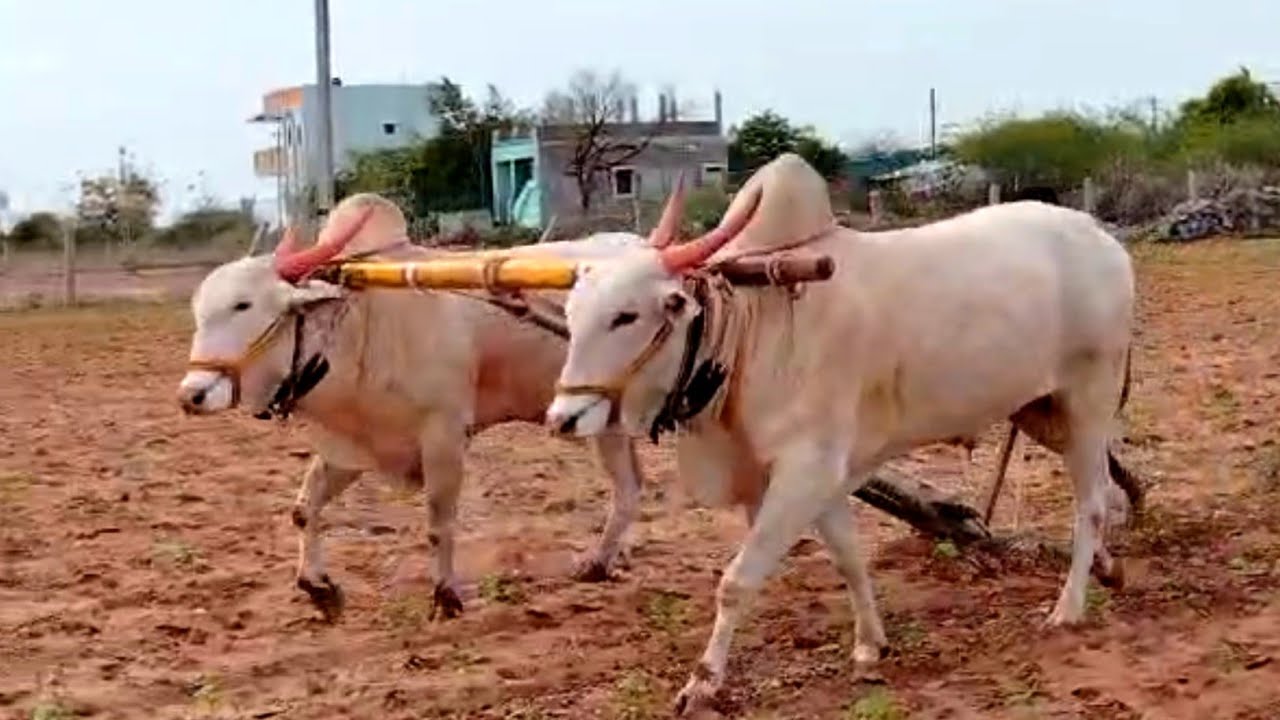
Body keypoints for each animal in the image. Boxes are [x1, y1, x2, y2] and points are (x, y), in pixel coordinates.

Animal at [176, 192, 660, 621]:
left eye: (243, 304)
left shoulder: (444, 435)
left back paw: (598, 561)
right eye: (198, 309)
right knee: (632, 486)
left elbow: (438, 523)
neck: (361, 325)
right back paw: (607, 560)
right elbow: (303, 509)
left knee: (626, 489)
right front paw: (318, 588)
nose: (190, 395)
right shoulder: (351, 448)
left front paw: (446, 596)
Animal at [544, 153, 1135, 714]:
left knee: (1091, 504)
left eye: (626, 316)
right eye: (570, 311)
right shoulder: (822, 477)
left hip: (1088, 402)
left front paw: (703, 683)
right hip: (1041, 411)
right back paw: (1108, 567)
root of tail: (1102, 238)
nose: (562, 417)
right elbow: (848, 558)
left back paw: (1068, 608)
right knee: (1106, 490)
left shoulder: (806, 469)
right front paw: (871, 644)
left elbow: (737, 580)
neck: (752, 326)